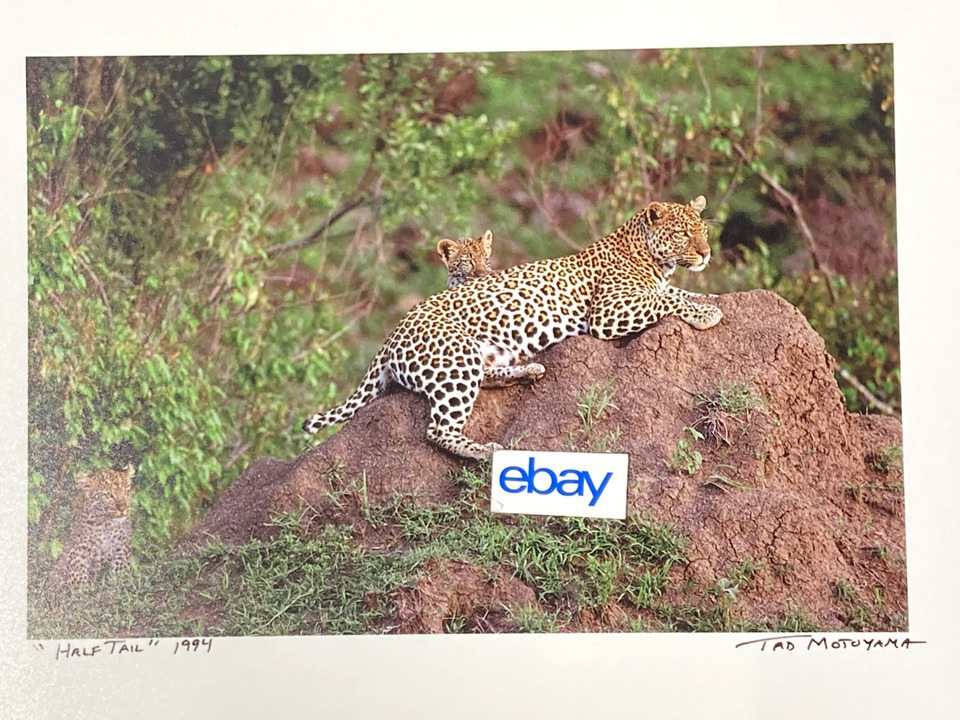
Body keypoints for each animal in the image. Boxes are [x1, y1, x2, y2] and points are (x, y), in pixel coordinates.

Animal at [44, 465, 135, 601]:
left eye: (126, 491)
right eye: (109, 495)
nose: (123, 508)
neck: (108, 525)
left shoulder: (122, 545)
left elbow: (120, 568)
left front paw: (120, 586)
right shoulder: (79, 550)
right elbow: (78, 574)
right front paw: (82, 595)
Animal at [303, 195, 722, 460]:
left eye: (703, 231)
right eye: (684, 234)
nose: (706, 253)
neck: (649, 257)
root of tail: (391, 336)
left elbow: (676, 292)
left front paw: (712, 299)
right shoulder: (609, 312)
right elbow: (666, 300)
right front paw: (706, 314)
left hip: (476, 357)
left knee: (485, 379)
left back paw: (530, 370)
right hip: (454, 358)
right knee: (438, 429)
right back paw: (487, 452)